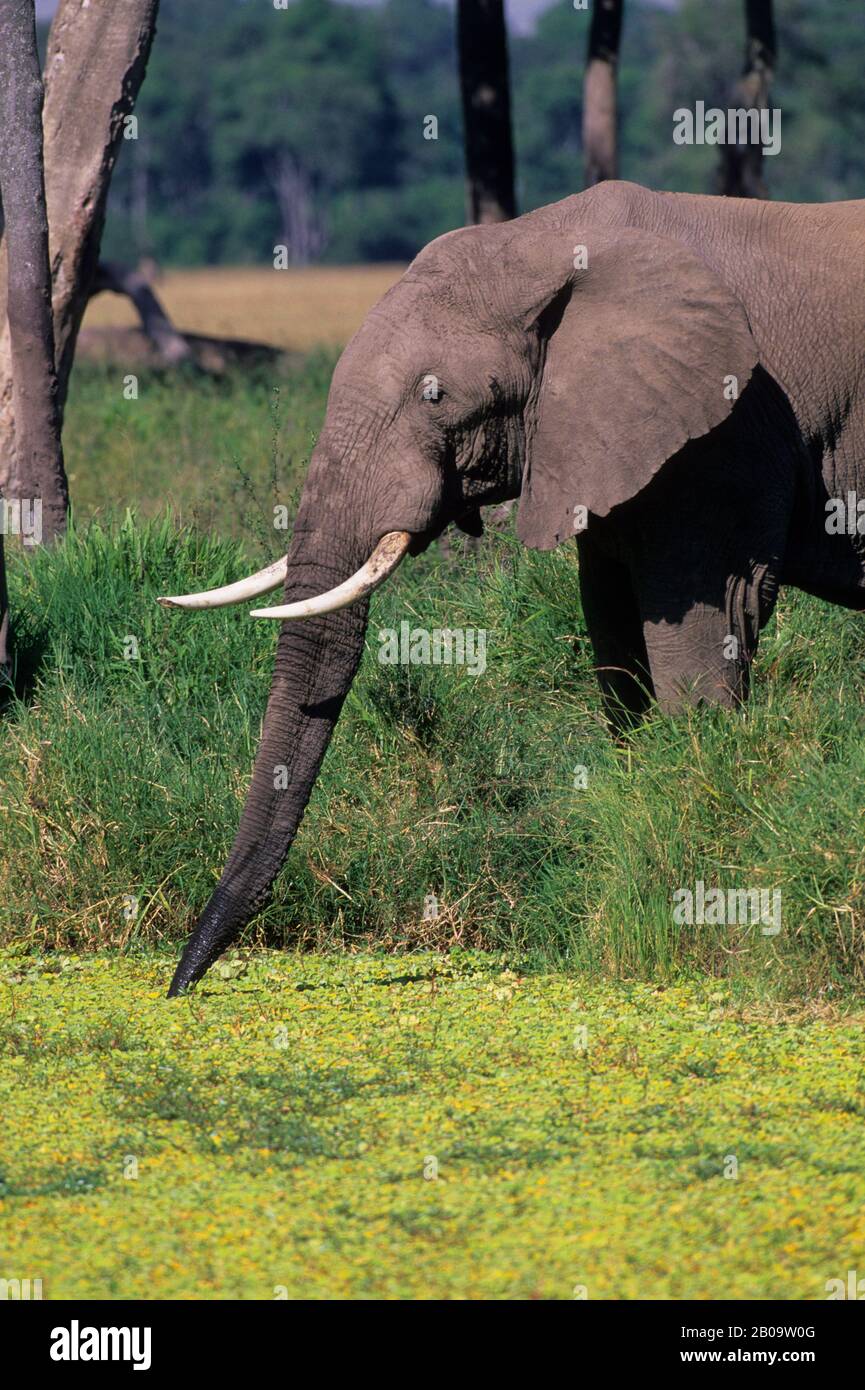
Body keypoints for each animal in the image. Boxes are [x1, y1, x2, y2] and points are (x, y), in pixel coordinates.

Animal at [159, 178, 865, 996]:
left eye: (434, 395)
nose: (178, 987)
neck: (545, 245)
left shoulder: (725, 433)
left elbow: (702, 636)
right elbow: (614, 640)